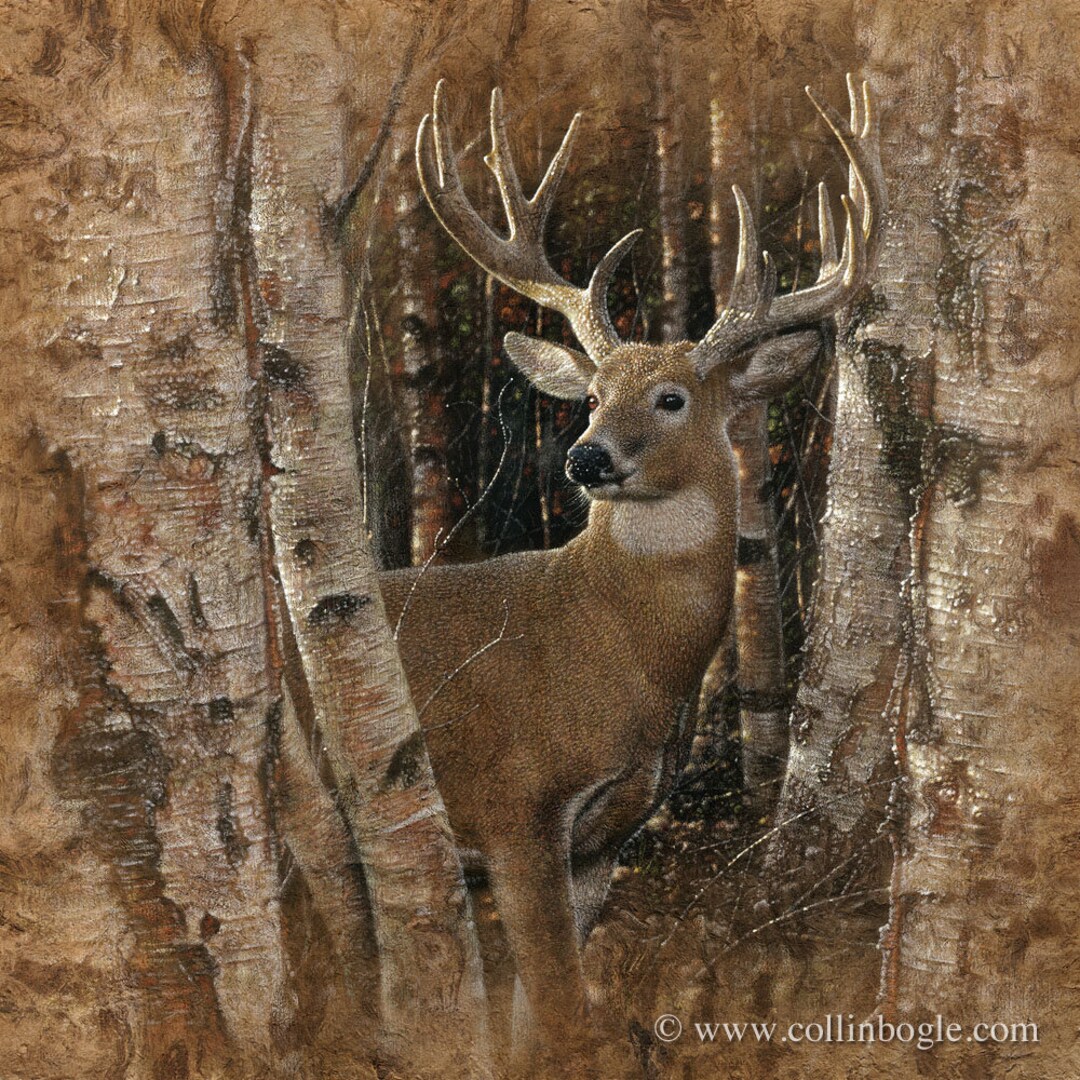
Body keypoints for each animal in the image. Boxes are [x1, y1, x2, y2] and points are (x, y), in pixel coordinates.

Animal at [377, 76, 884, 1071]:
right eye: (590, 392)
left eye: (671, 397)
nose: (586, 457)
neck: (607, 650)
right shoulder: (515, 805)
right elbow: (561, 1006)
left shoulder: (605, 838)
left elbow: (543, 1017)